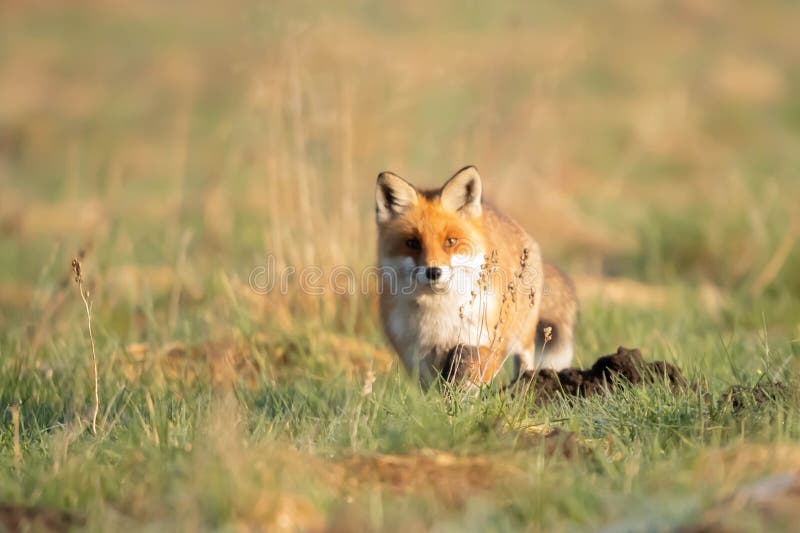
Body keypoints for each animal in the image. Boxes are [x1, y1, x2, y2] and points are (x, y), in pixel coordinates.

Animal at [375, 165, 578, 386]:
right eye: (412, 243)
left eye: (450, 241)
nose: (433, 272)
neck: (439, 316)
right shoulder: (416, 356)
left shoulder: (483, 340)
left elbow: (470, 377)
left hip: (521, 333)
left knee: (525, 357)